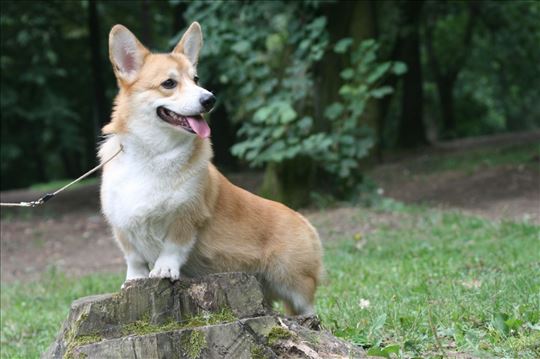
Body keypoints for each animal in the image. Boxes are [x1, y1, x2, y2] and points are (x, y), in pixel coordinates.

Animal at [99, 22, 322, 316]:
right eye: (169, 83)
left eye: (196, 79)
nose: (210, 99)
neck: (153, 155)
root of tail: (306, 222)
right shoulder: (121, 222)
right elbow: (133, 258)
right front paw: (133, 280)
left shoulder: (187, 215)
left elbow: (173, 247)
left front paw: (164, 269)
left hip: (292, 280)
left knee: (306, 306)